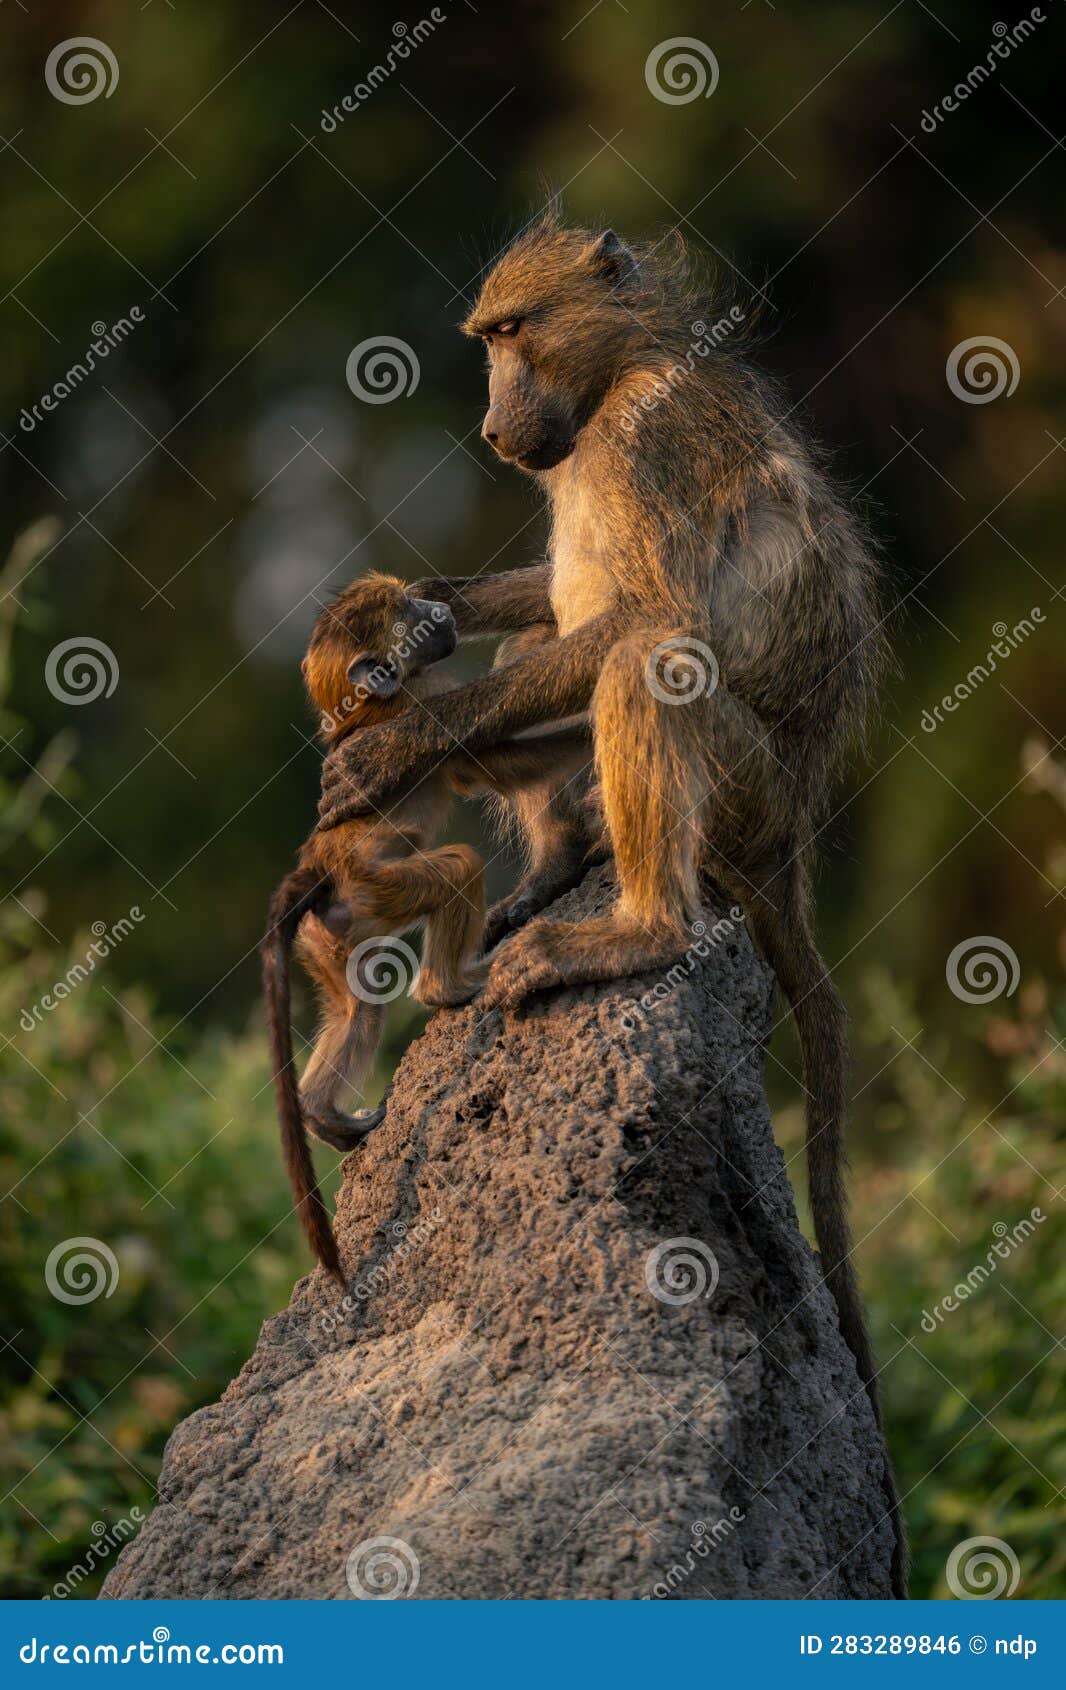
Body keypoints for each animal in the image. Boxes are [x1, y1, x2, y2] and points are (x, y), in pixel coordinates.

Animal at [262, 570, 592, 1284]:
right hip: (378, 886)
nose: (439, 608)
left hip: (330, 934)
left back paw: (322, 1113)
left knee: (358, 1009)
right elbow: (487, 762)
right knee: (459, 867)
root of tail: (318, 868)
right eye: (409, 613)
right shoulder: (431, 698)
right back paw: (451, 987)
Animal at [315, 216, 907, 1592]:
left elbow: (645, 616)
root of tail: (789, 840)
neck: (622, 370)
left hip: (738, 791)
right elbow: (548, 595)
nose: (492, 429)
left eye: (510, 332)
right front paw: (411, 617)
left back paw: (633, 928)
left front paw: (400, 733)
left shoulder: (644, 436)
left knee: (643, 660)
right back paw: (547, 875)